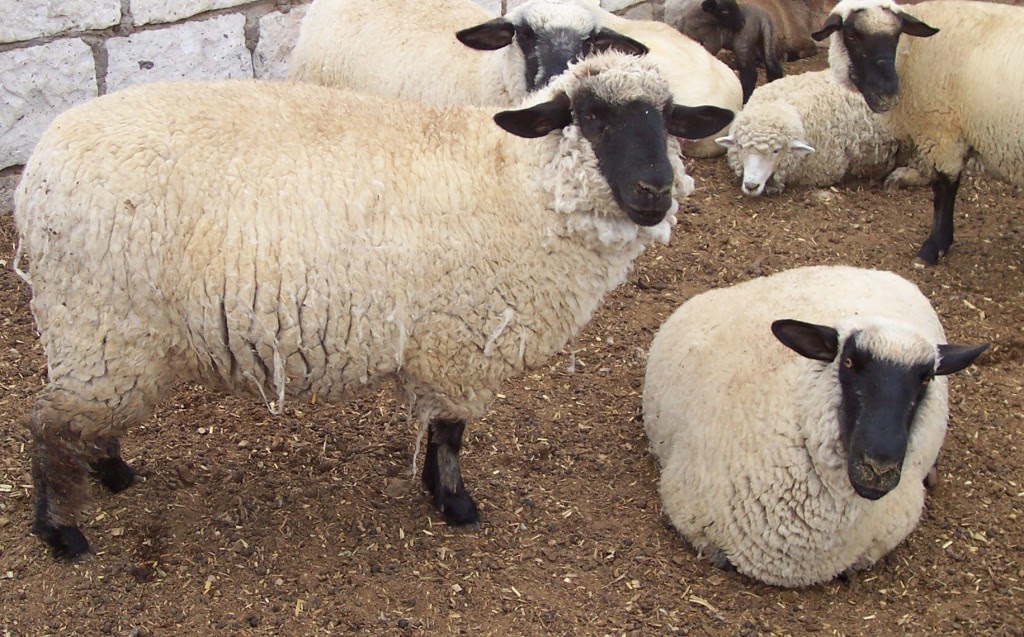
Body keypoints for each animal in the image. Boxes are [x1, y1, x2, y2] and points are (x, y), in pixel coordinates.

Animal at [13, 51, 735, 559]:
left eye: (667, 118)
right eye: (591, 117)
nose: (655, 190)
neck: (514, 179)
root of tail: (38, 165)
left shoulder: (446, 347)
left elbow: (439, 428)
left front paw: (436, 491)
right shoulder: (458, 343)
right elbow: (449, 432)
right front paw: (455, 503)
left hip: (108, 335)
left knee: (82, 414)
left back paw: (112, 472)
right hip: (95, 318)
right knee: (47, 422)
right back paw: (62, 531)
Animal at [812, 0, 1024, 265]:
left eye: (897, 34)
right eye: (852, 35)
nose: (887, 93)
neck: (909, 52)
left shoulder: (941, 129)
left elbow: (943, 189)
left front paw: (934, 247)